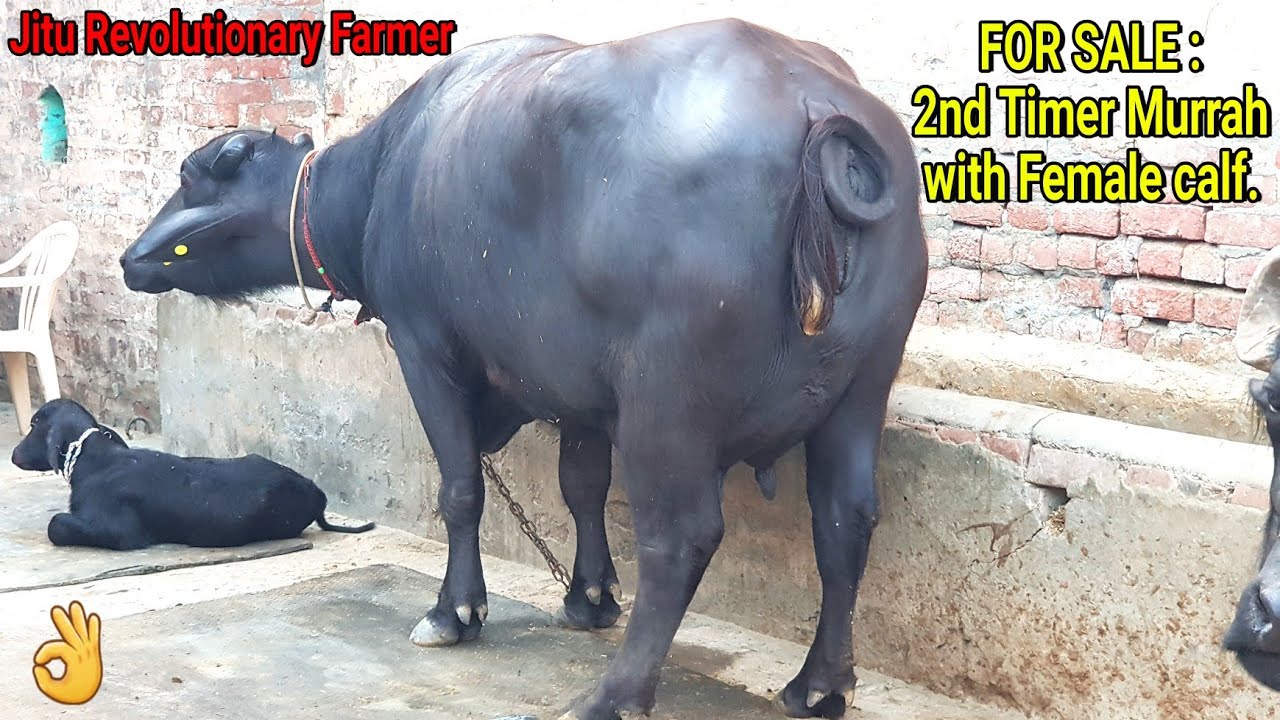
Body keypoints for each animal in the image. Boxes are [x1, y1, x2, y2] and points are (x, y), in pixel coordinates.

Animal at [119, 18, 927, 719]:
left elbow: (460, 489)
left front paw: (455, 611)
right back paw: (818, 686)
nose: (132, 260)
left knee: (681, 537)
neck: (386, 178)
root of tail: (816, 109)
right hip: (863, 388)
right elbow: (582, 487)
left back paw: (614, 695)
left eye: (193, 177)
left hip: (669, 402)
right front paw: (588, 597)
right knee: (845, 521)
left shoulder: (424, 346)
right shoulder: (577, 387)